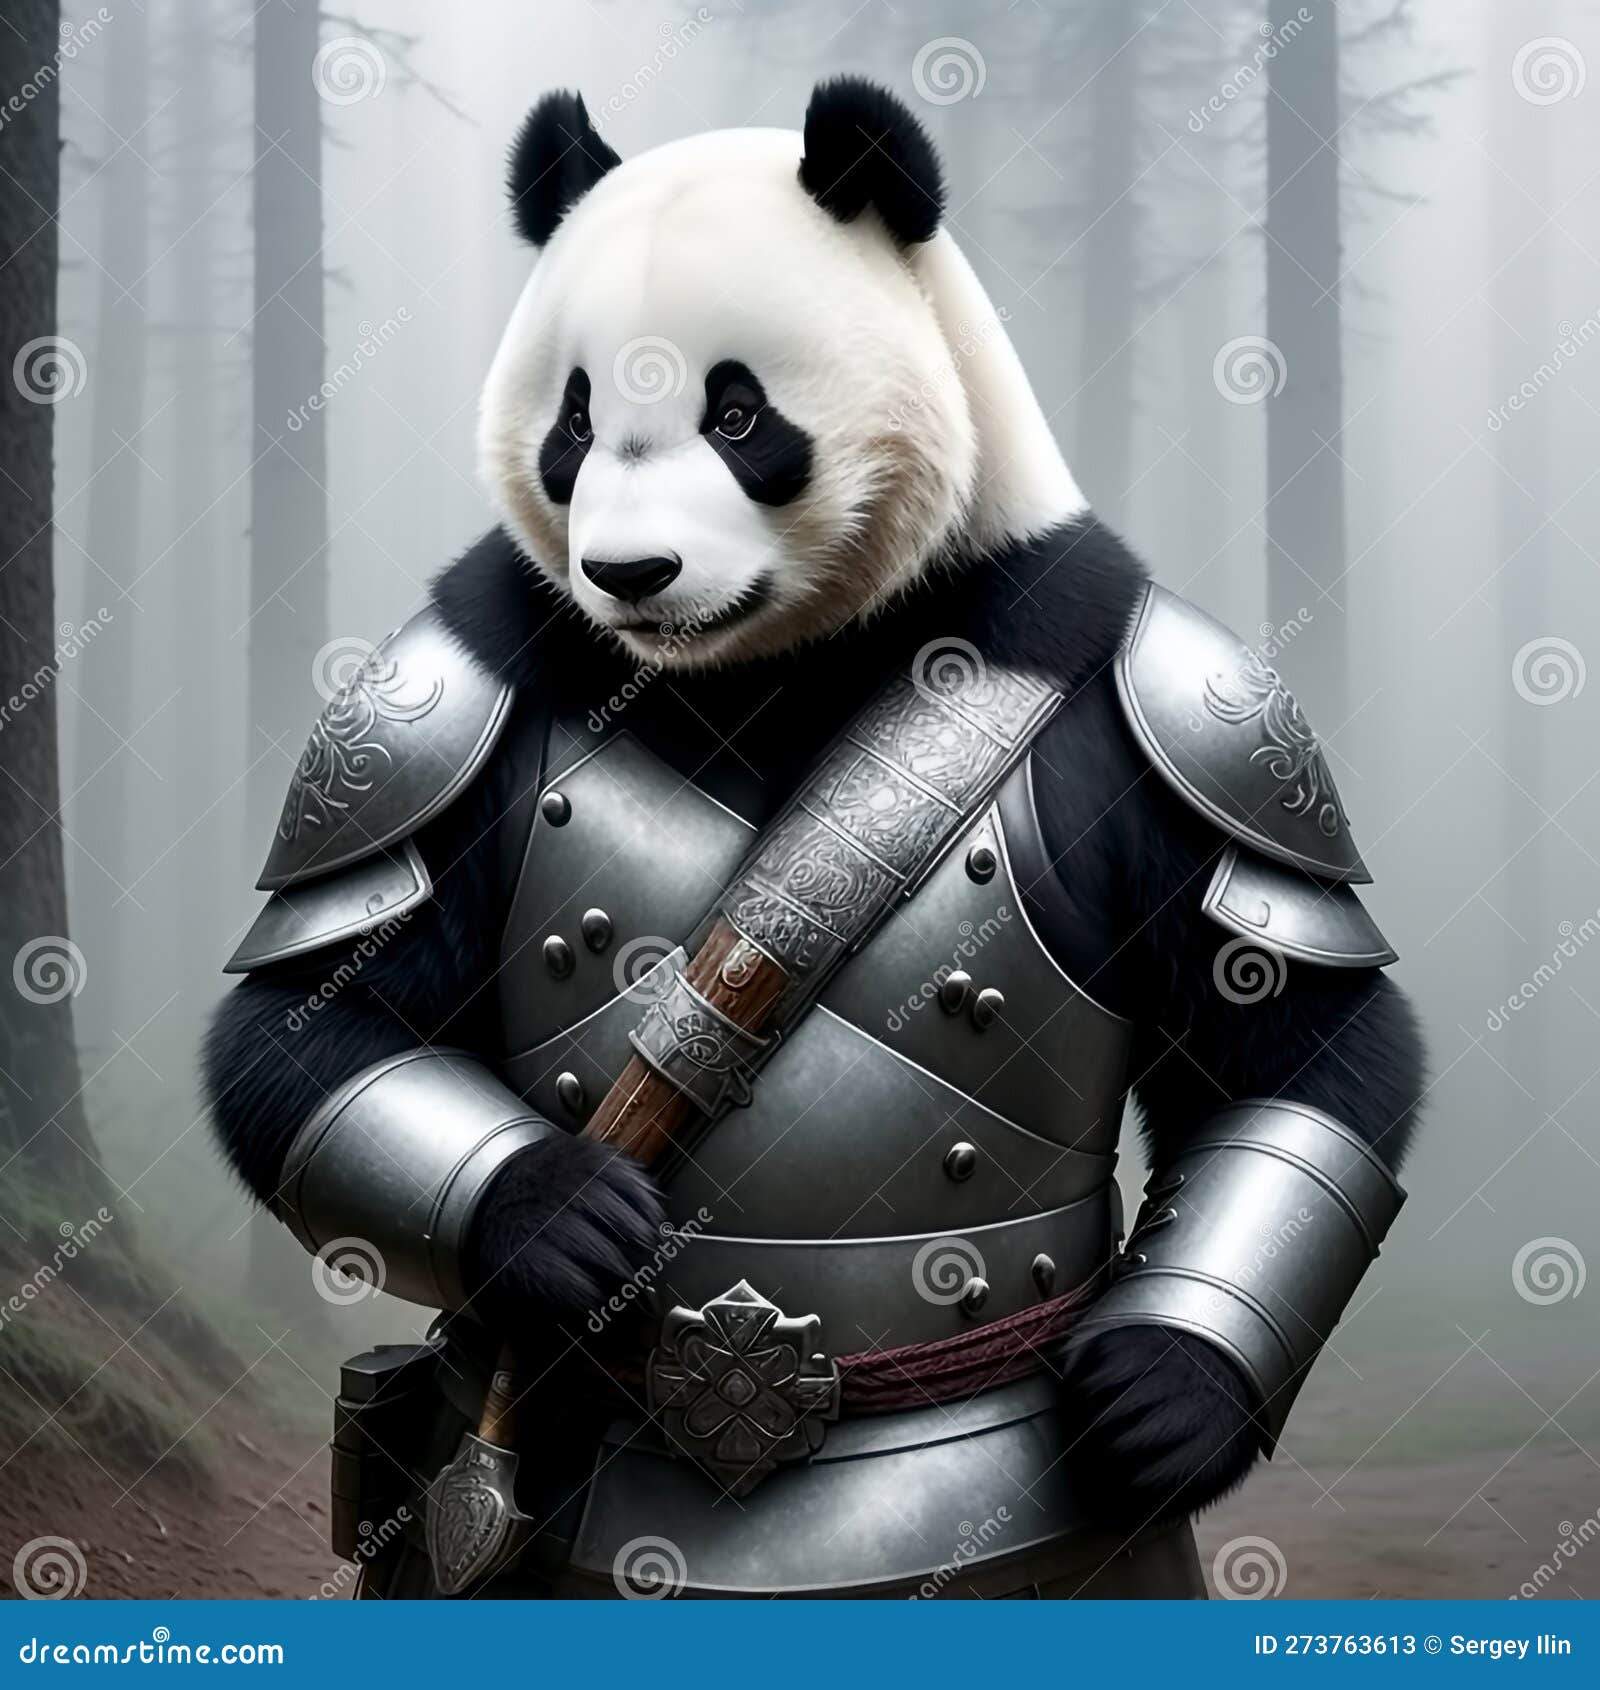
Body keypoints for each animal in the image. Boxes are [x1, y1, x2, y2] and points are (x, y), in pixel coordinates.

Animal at [205, 78, 1423, 1600]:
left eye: (738, 411)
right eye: (574, 421)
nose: (628, 574)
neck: (756, 673)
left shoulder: (1157, 712)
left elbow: (1294, 1046)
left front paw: (1165, 1393)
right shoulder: (446, 702)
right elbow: (318, 1020)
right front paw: (556, 1216)